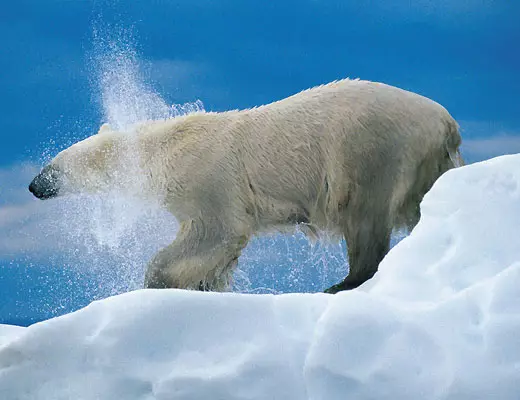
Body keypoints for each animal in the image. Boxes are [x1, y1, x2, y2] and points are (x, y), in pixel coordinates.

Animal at [28, 79, 464, 296]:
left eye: (54, 167)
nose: (33, 186)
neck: (163, 149)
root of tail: (446, 121)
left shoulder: (206, 179)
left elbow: (214, 232)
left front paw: (159, 282)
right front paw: (206, 285)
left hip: (369, 149)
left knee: (364, 217)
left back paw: (342, 283)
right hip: (426, 162)